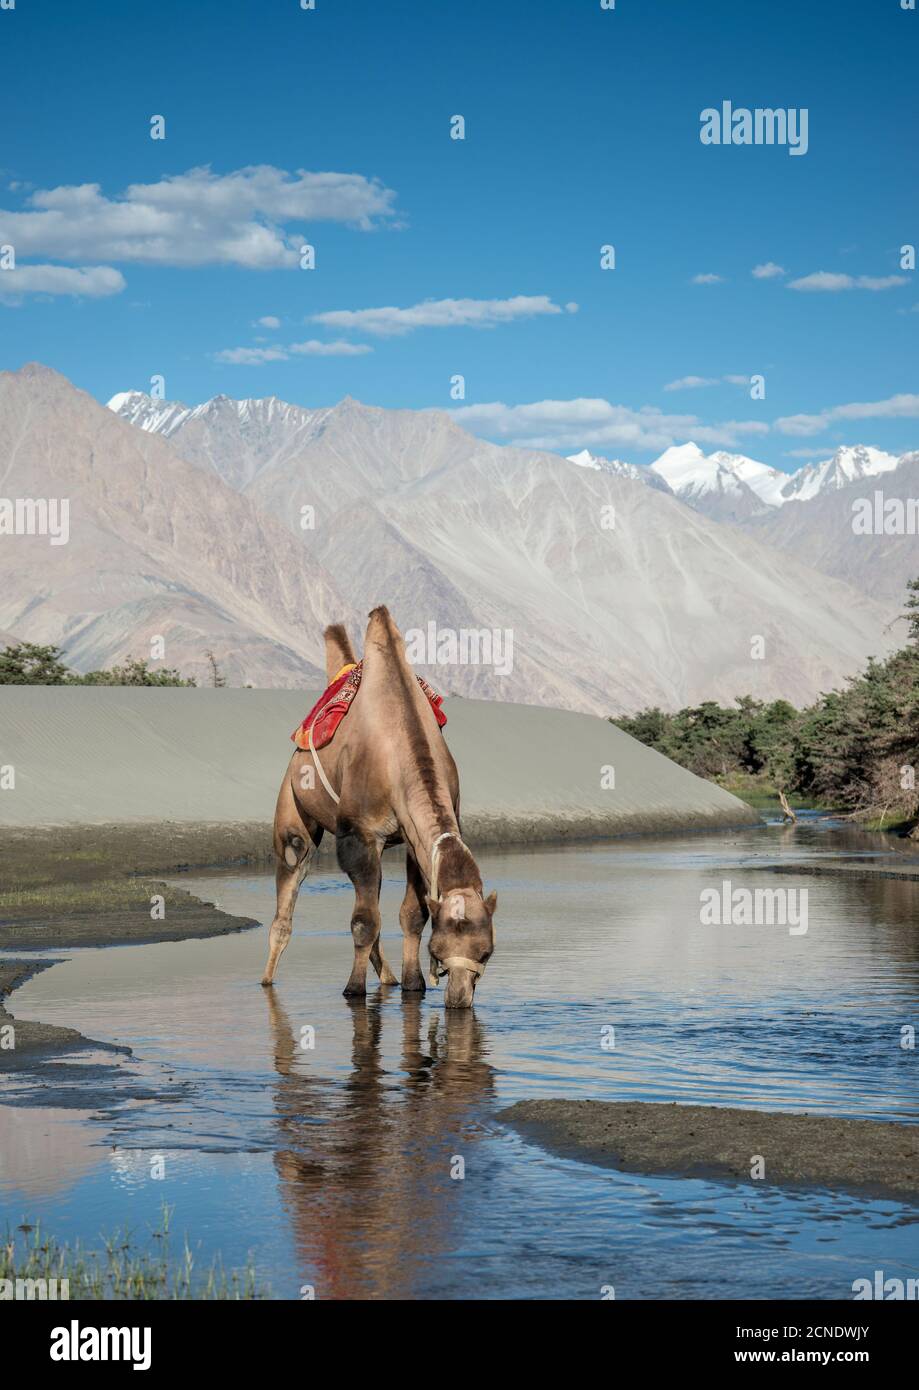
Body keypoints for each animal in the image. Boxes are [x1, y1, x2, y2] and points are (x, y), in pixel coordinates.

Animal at [261, 606, 497, 1008]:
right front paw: (353, 990)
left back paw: (388, 978)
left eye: (486, 951)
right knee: (291, 878)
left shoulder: (414, 840)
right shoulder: (360, 835)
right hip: (293, 808)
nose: (458, 999)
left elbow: (412, 914)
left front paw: (413, 983)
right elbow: (364, 921)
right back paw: (266, 979)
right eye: (440, 949)